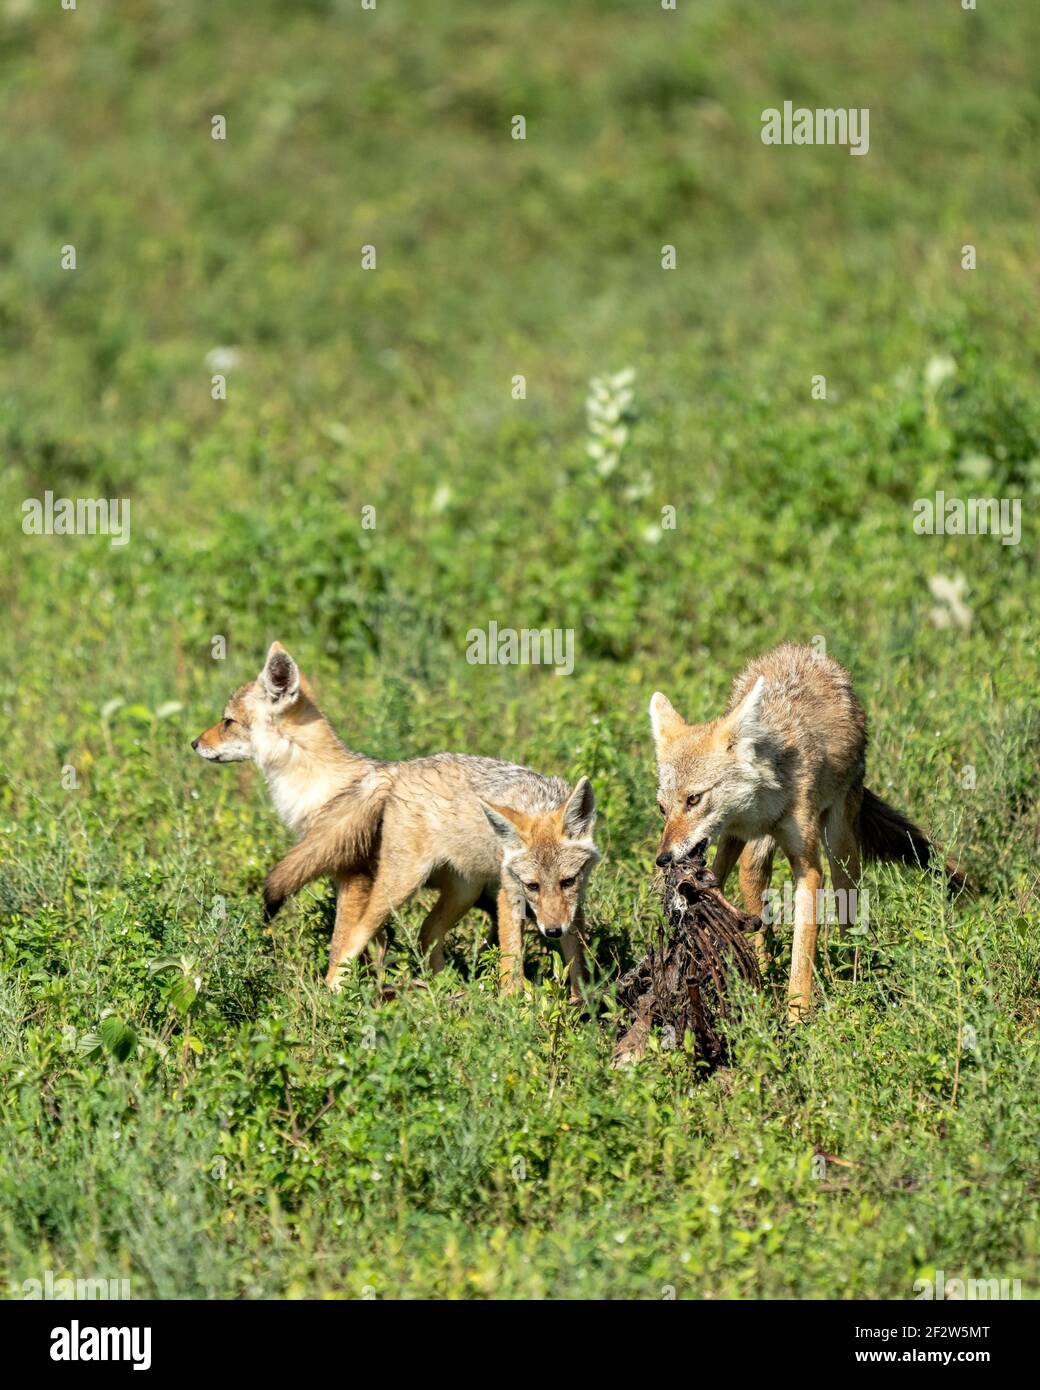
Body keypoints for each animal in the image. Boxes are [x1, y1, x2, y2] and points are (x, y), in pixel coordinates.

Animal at [192, 643, 599, 996]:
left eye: (227, 722)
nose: (194, 744)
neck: (327, 786)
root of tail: (397, 772)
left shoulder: (355, 880)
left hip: (431, 888)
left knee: (410, 937)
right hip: (427, 888)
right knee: (402, 937)